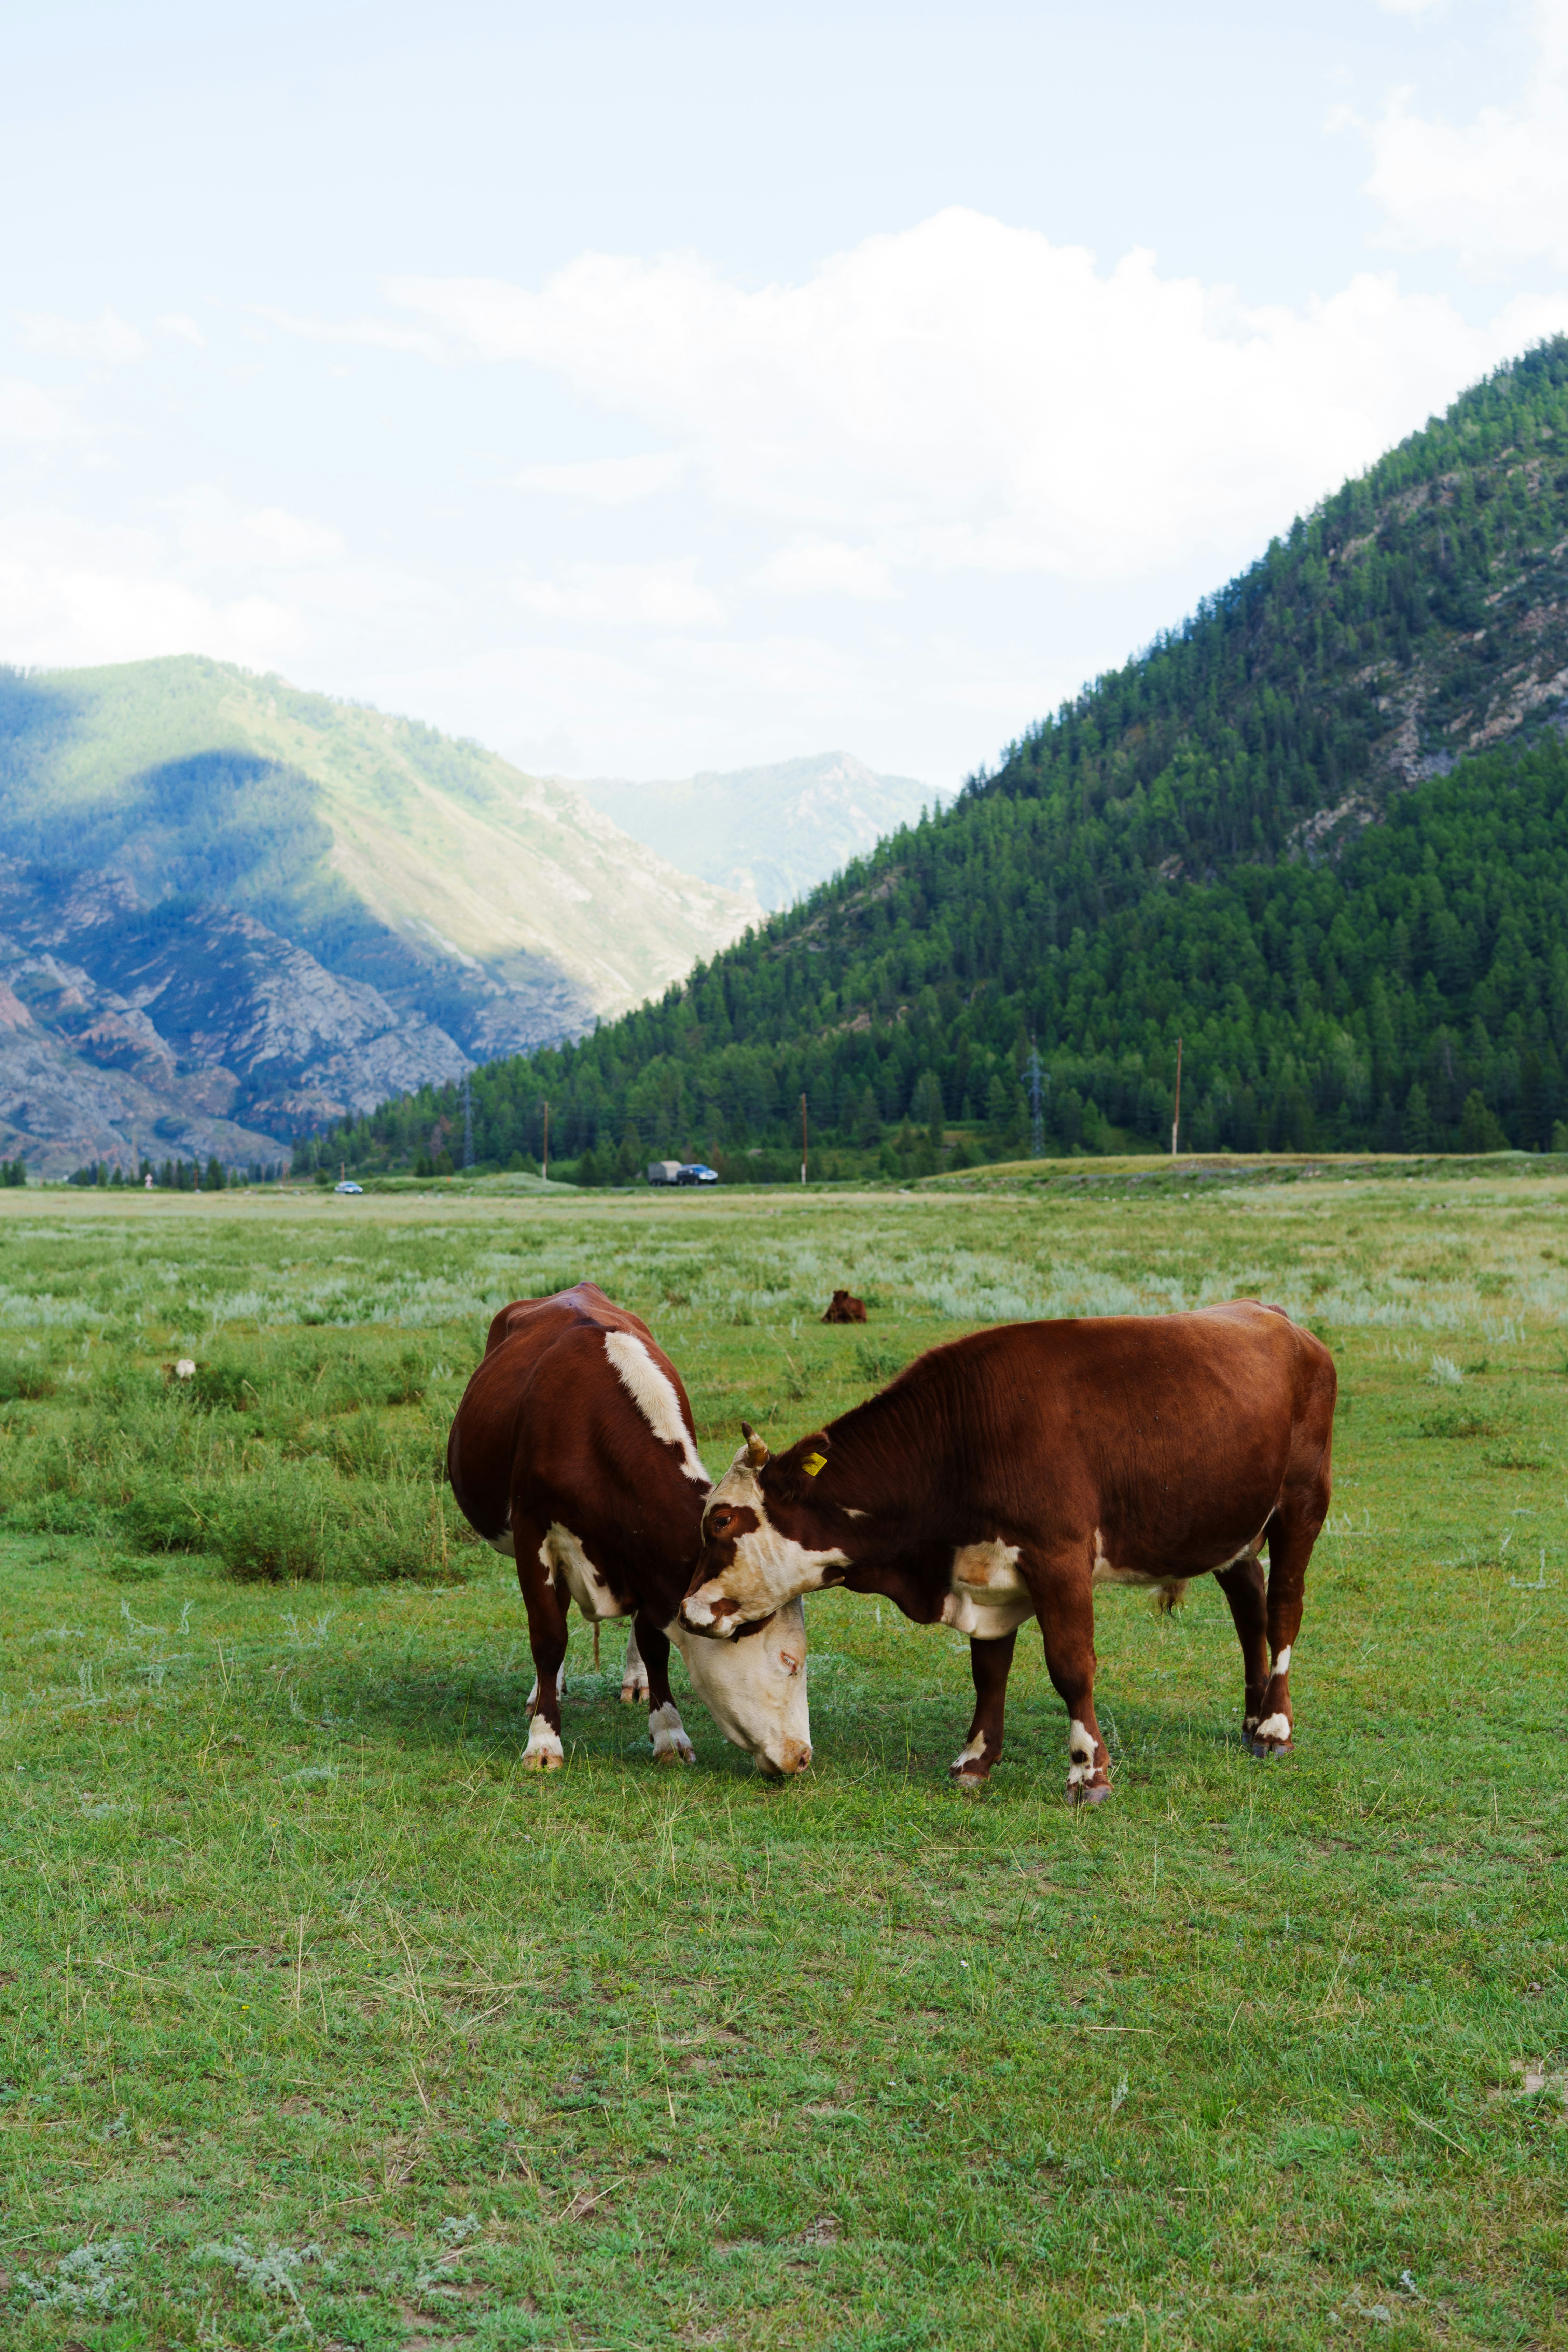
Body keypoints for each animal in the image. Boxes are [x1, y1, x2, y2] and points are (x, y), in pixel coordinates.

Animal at [448, 1283, 812, 1778]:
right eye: (788, 1661)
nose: (802, 1756)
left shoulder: (643, 1555)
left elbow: (653, 1641)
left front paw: (669, 1733)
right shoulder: (532, 1533)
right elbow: (548, 1636)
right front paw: (543, 1739)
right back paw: (544, 1691)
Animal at [681, 1301, 1335, 1803]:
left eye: (721, 1519)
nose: (686, 1611)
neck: (960, 1436)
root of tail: (1277, 1317)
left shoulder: (1059, 1559)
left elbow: (1070, 1667)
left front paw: (1088, 1772)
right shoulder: (983, 1573)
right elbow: (988, 1671)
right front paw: (974, 1760)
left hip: (1301, 1505)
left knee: (1284, 1608)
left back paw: (1274, 1726)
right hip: (1228, 1524)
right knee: (1249, 1604)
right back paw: (1251, 1718)